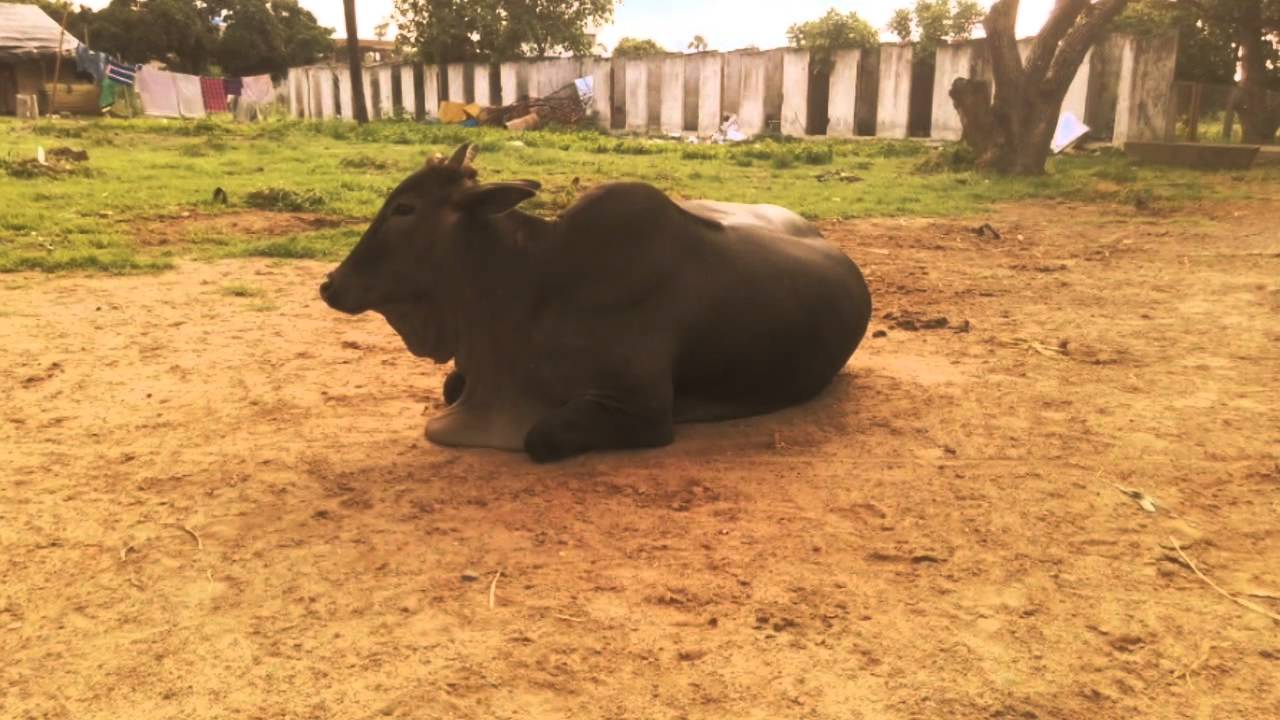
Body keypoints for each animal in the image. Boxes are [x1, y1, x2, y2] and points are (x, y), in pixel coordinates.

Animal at [320, 143, 872, 462]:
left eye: (404, 208)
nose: (330, 284)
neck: (529, 287)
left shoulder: (645, 409)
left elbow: (540, 437)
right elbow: (451, 385)